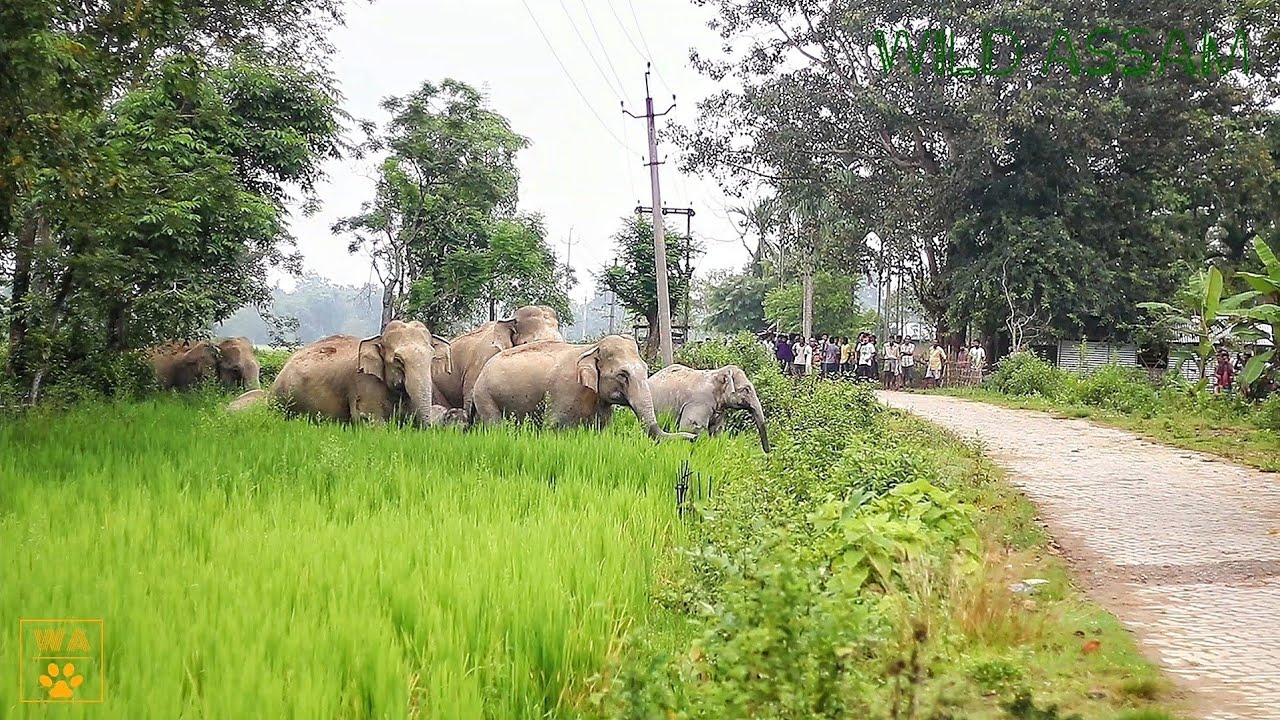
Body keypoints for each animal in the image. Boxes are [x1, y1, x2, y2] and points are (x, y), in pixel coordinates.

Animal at [469, 334, 696, 442]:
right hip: (485, 396)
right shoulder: (564, 391)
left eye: (646, 369)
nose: (694, 438)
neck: (592, 348)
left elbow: (601, 428)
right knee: (494, 424)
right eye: (622, 375)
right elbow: (554, 427)